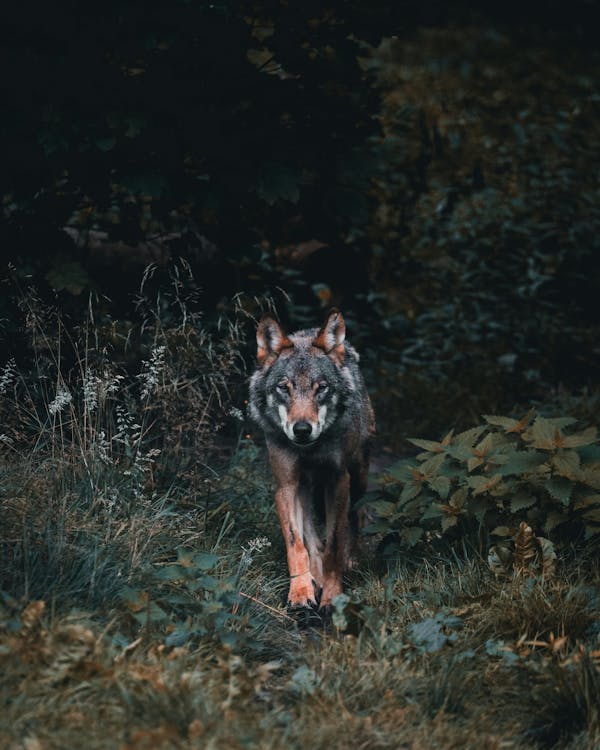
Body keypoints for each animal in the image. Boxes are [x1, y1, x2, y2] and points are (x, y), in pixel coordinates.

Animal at [249, 309, 375, 610]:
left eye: (322, 388)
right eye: (284, 388)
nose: (303, 429)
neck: (309, 450)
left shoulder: (338, 481)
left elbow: (334, 544)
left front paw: (332, 594)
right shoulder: (286, 486)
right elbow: (297, 544)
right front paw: (300, 592)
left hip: (359, 476)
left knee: (356, 516)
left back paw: (351, 560)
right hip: (304, 489)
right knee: (311, 538)